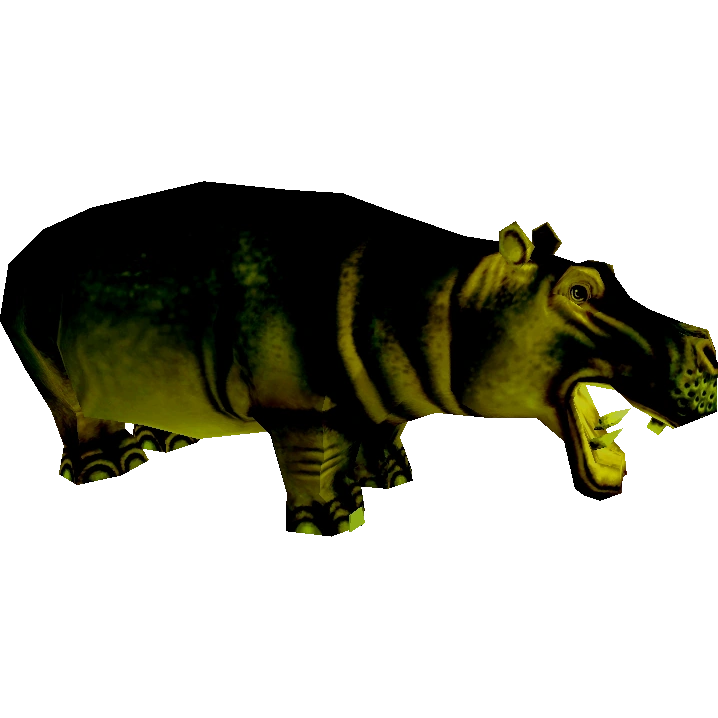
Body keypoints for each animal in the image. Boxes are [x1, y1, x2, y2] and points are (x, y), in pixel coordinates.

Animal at [12, 221, 716, 536]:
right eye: (579, 290)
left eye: (611, 267)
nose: (705, 345)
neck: (447, 300)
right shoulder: (306, 409)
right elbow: (317, 457)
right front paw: (334, 518)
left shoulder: (379, 397)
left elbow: (379, 431)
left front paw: (388, 479)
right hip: (47, 362)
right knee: (73, 410)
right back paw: (109, 463)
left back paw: (161, 441)